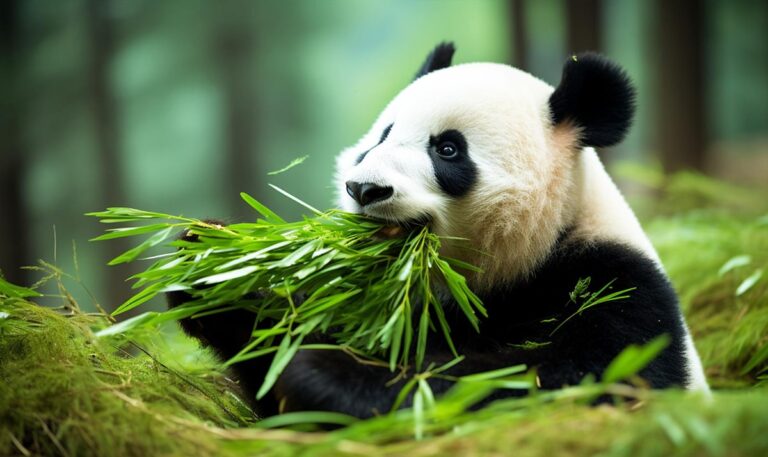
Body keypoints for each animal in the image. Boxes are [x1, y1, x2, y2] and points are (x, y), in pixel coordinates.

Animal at [169, 42, 709, 419]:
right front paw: (215, 263)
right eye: (380, 138)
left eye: (448, 149)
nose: (365, 189)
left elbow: (563, 384)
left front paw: (333, 374)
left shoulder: (616, 290)